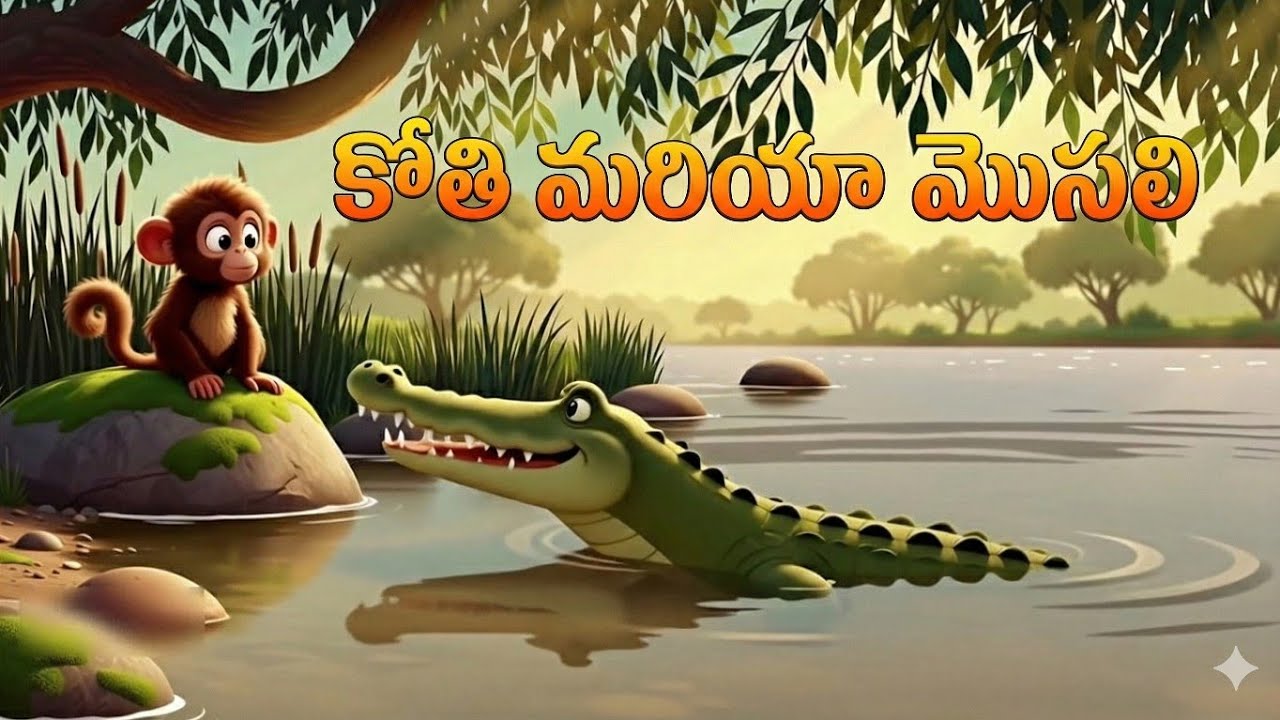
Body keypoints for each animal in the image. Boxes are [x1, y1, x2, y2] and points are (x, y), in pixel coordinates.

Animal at [65, 176, 282, 400]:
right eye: (222, 240)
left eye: (250, 239)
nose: (242, 250)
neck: (213, 288)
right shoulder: (183, 289)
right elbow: (165, 327)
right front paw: (201, 378)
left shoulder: (238, 294)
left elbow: (248, 326)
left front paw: (250, 375)